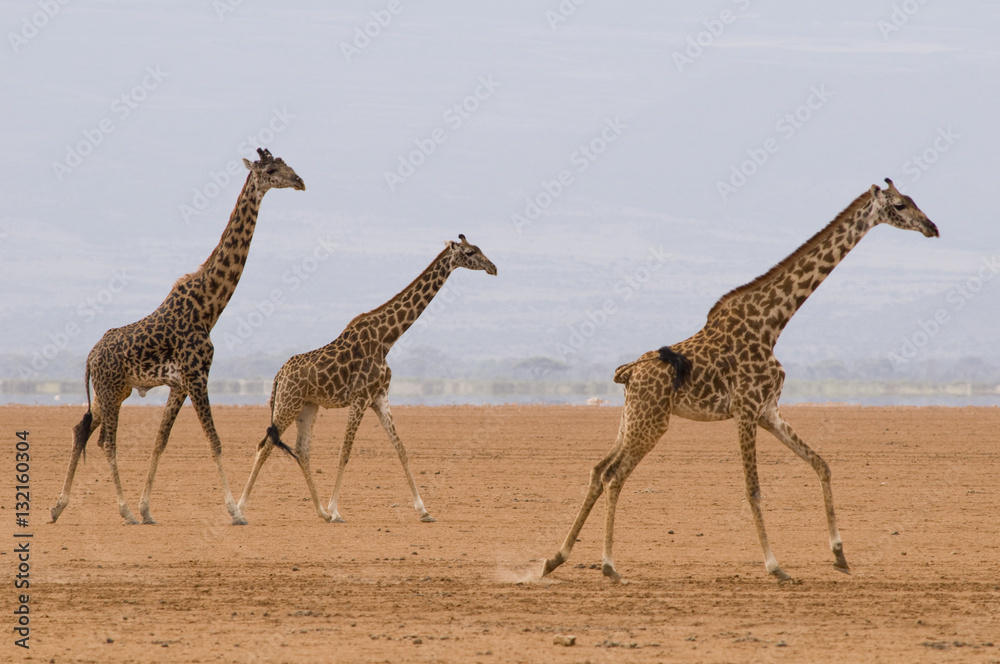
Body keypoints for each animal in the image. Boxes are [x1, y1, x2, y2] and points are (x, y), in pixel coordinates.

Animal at [50, 148, 305, 526]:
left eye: (287, 165)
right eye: (272, 170)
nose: (300, 181)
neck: (208, 308)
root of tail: (90, 356)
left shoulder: (179, 385)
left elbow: (160, 441)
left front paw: (147, 509)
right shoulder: (198, 377)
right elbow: (215, 441)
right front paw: (234, 511)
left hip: (115, 390)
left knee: (80, 430)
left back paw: (59, 506)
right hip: (110, 391)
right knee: (106, 442)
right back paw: (123, 510)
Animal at [237, 234, 497, 523]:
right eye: (470, 252)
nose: (493, 268)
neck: (387, 339)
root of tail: (278, 375)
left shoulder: (379, 397)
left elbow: (401, 449)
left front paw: (424, 510)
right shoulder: (360, 397)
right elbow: (345, 452)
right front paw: (336, 510)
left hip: (307, 406)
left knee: (302, 450)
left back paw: (320, 511)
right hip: (287, 403)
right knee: (264, 445)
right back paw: (240, 510)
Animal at [542, 178, 938, 583]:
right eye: (901, 205)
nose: (932, 227)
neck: (771, 324)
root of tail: (629, 371)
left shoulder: (768, 411)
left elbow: (821, 464)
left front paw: (840, 555)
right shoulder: (746, 410)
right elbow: (754, 489)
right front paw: (776, 566)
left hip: (632, 418)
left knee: (598, 470)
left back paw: (555, 558)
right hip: (651, 422)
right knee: (615, 475)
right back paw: (608, 566)